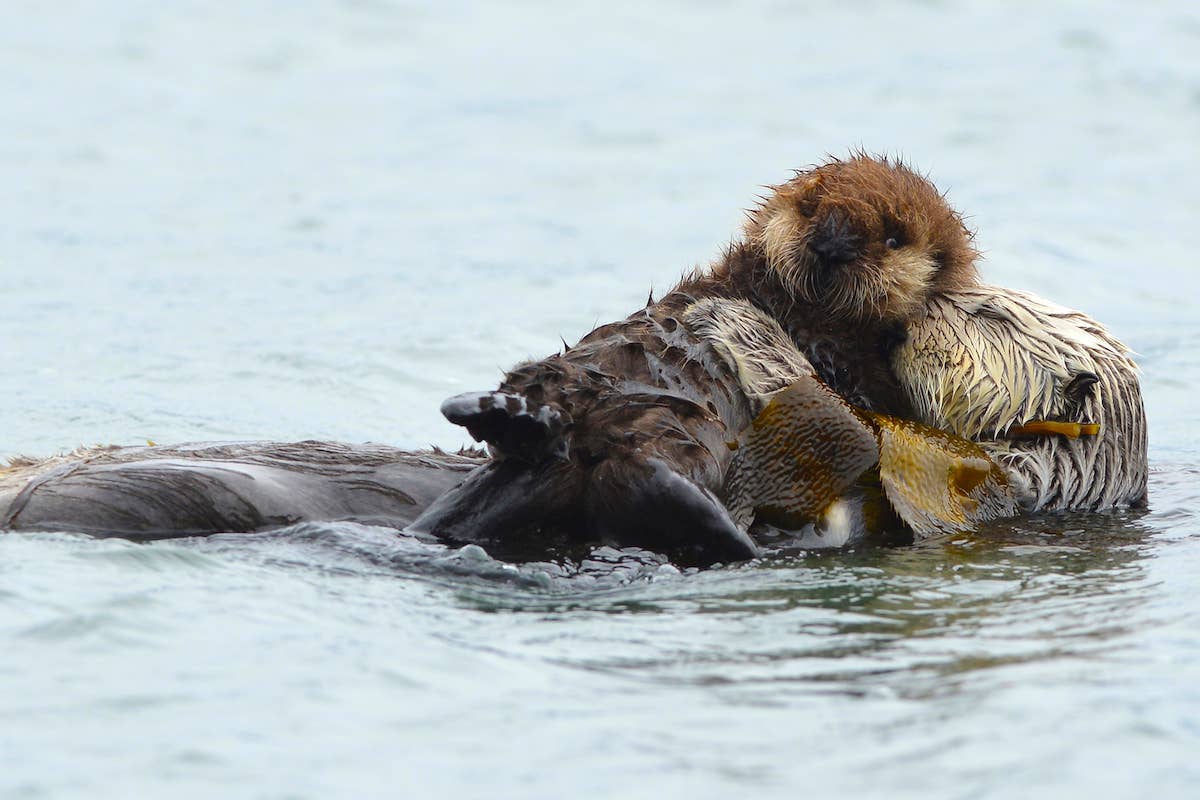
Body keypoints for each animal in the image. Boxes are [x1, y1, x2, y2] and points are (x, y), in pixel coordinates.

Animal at [413, 154, 981, 564]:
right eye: (809, 207)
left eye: (893, 235)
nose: (831, 242)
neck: (793, 309)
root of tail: (582, 449)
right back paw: (498, 413)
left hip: (680, 438)